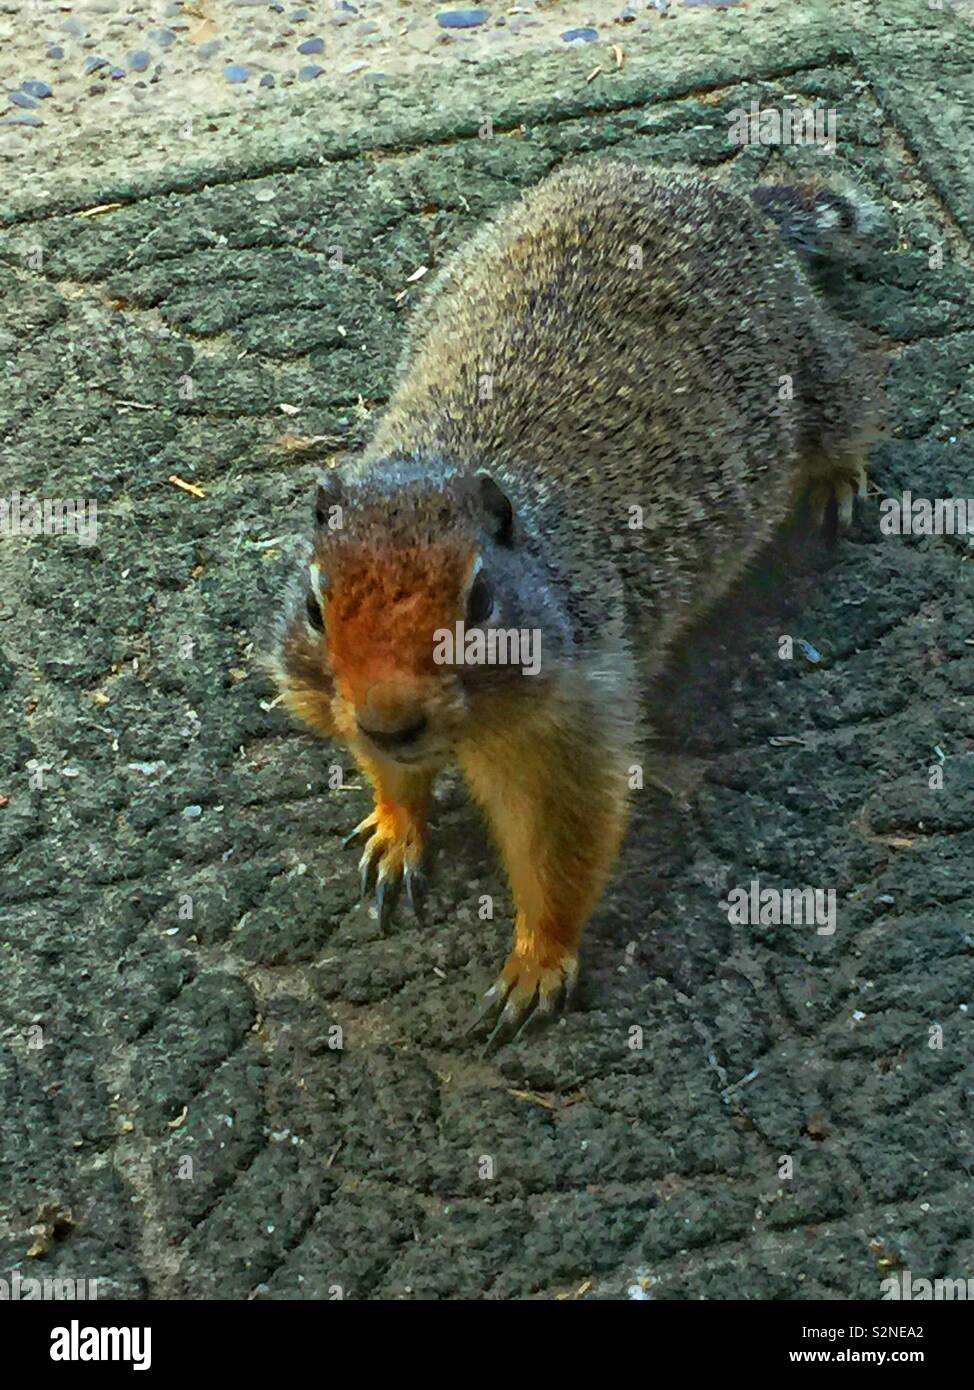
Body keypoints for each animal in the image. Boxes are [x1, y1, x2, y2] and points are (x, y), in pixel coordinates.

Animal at [271, 159, 886, 1049]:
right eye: (316, 608)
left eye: (482, 599)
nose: (390, 720)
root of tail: (715, 192)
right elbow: (392, 777)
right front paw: (394, 829)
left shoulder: (576, 716)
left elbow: (562, 839)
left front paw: (537, 962)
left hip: (812, 366)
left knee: (854, 397)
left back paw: (840, 481)